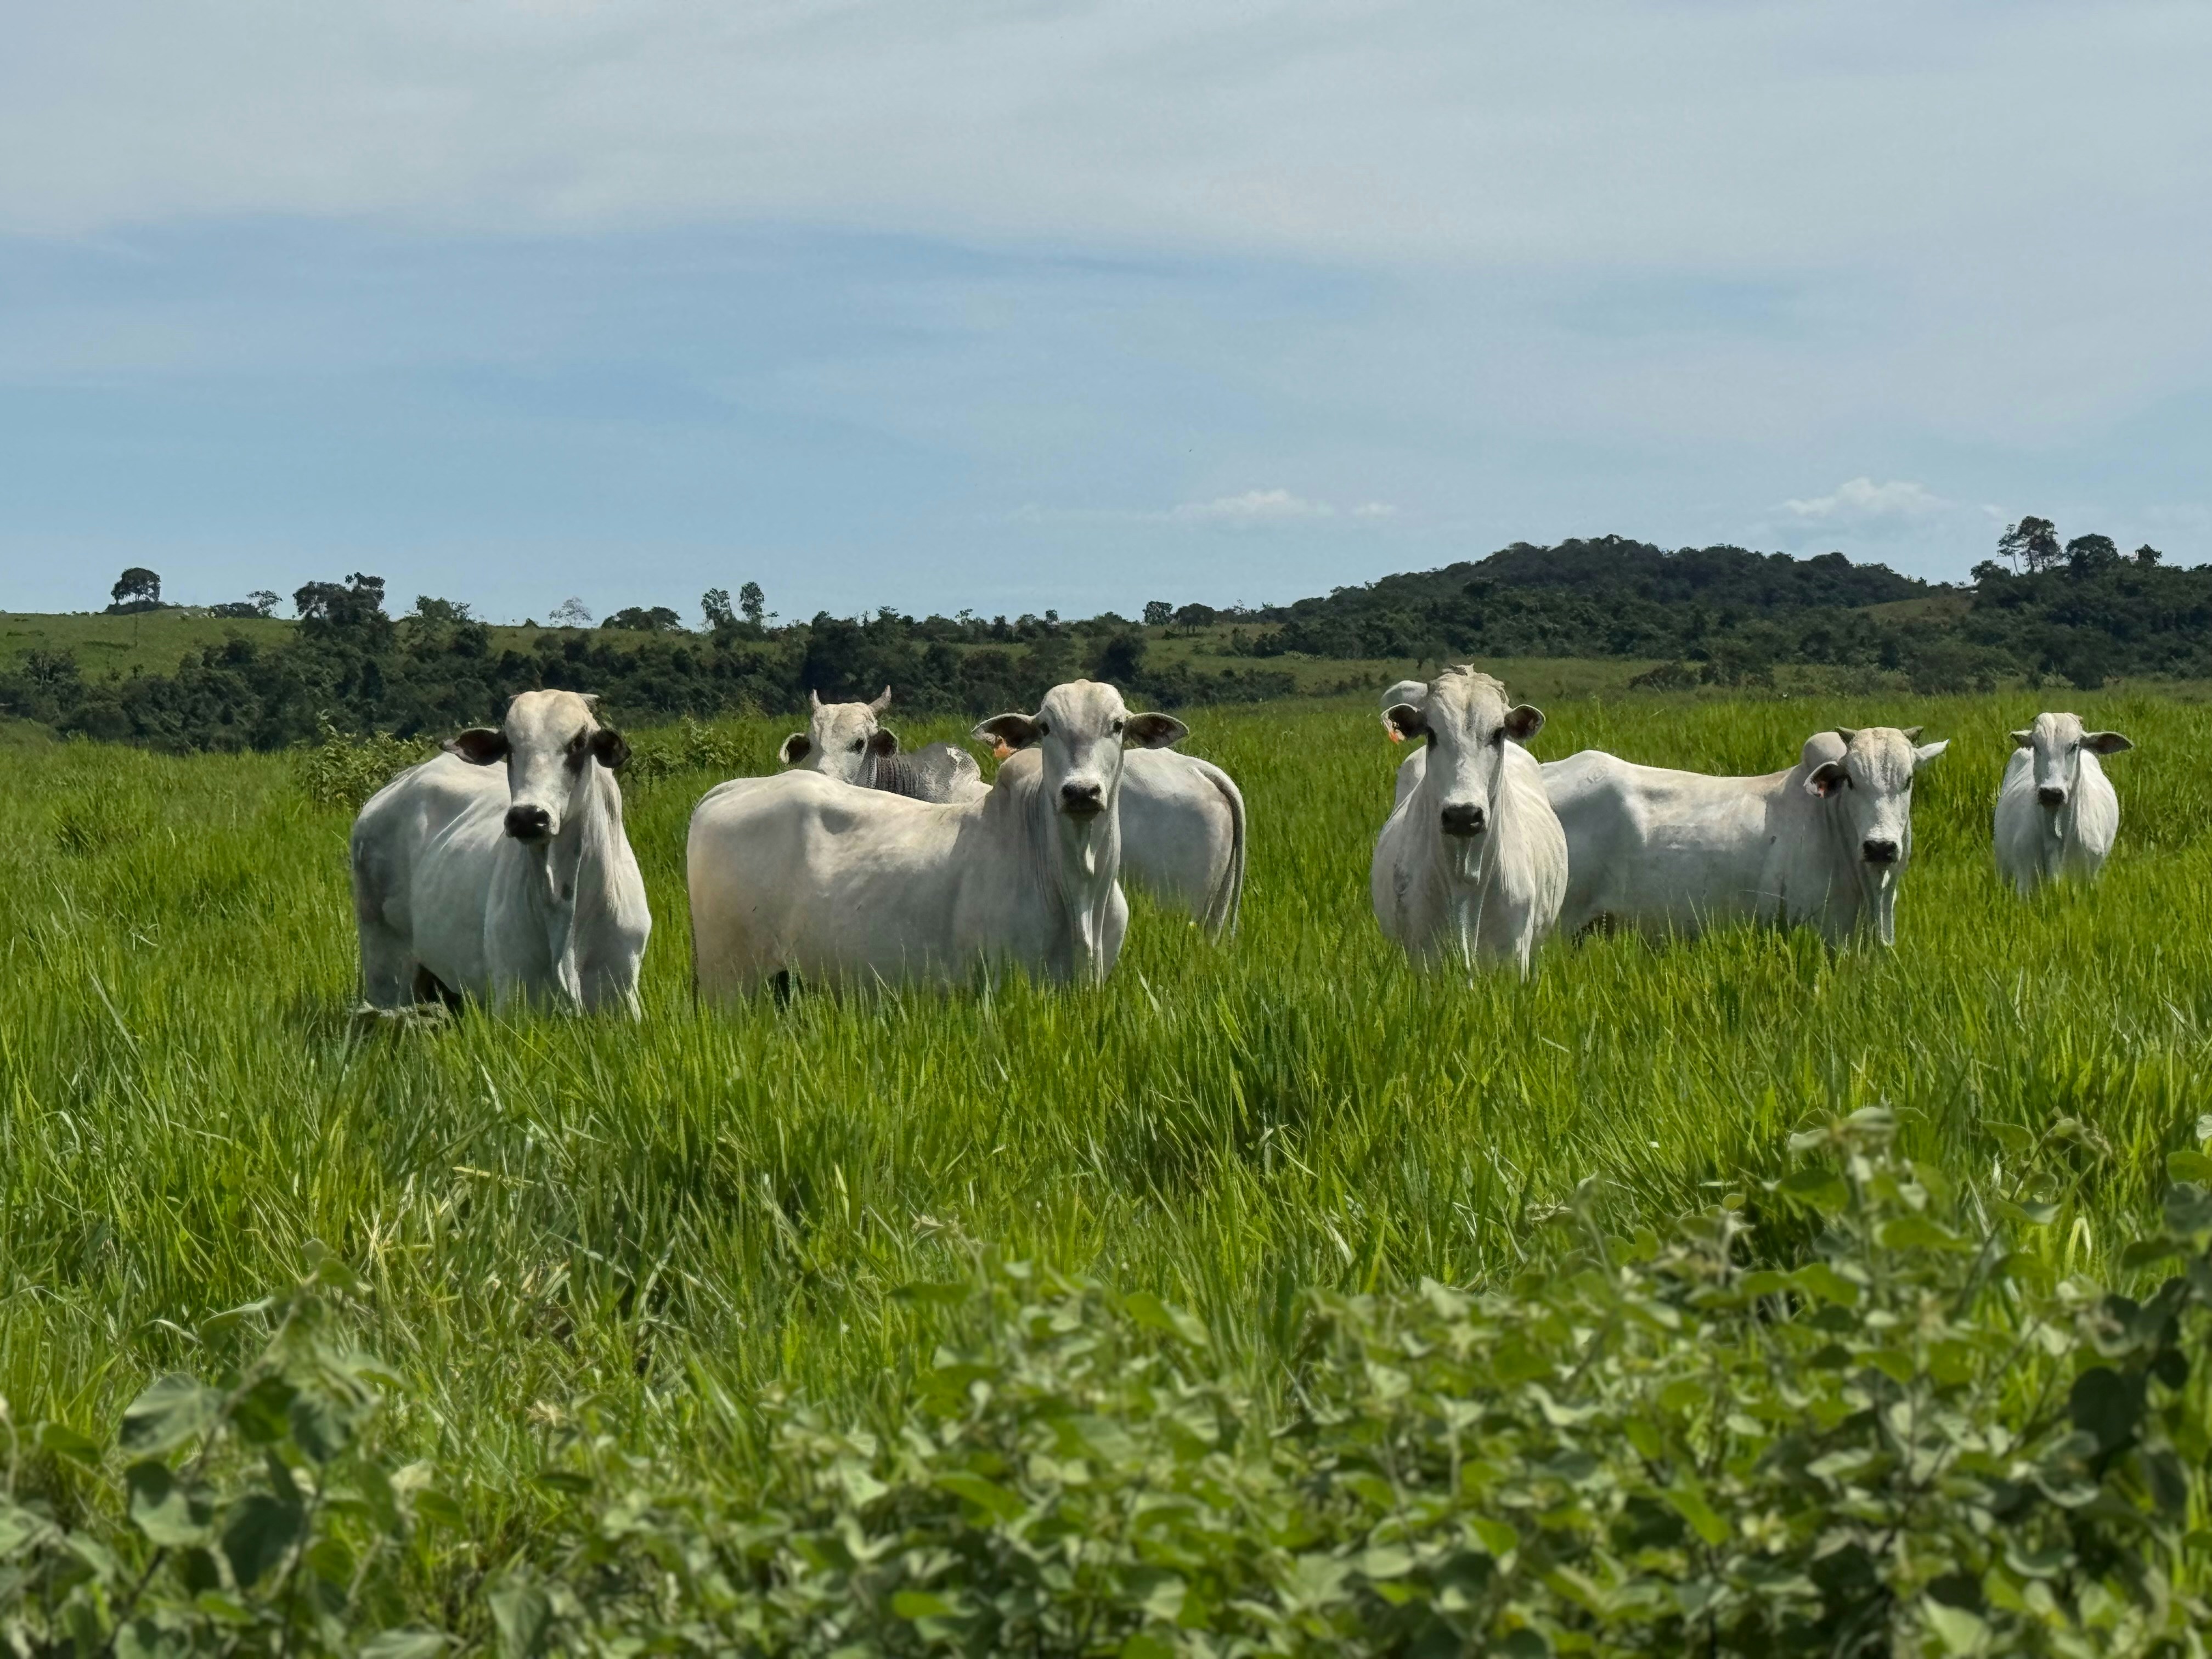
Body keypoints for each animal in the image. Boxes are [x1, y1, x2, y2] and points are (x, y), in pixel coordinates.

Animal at [350, 689, 651, 1014]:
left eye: (578, 742)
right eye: (509, 745)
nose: (528, 817)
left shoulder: (623, 997)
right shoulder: (511, 1000)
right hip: (386, 974)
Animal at [688, 680, 1186, 999]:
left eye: (1117, 726)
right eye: (1045, 728)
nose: (1081, 792)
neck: (1079, 885)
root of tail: (728, 790)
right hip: (727, 981)